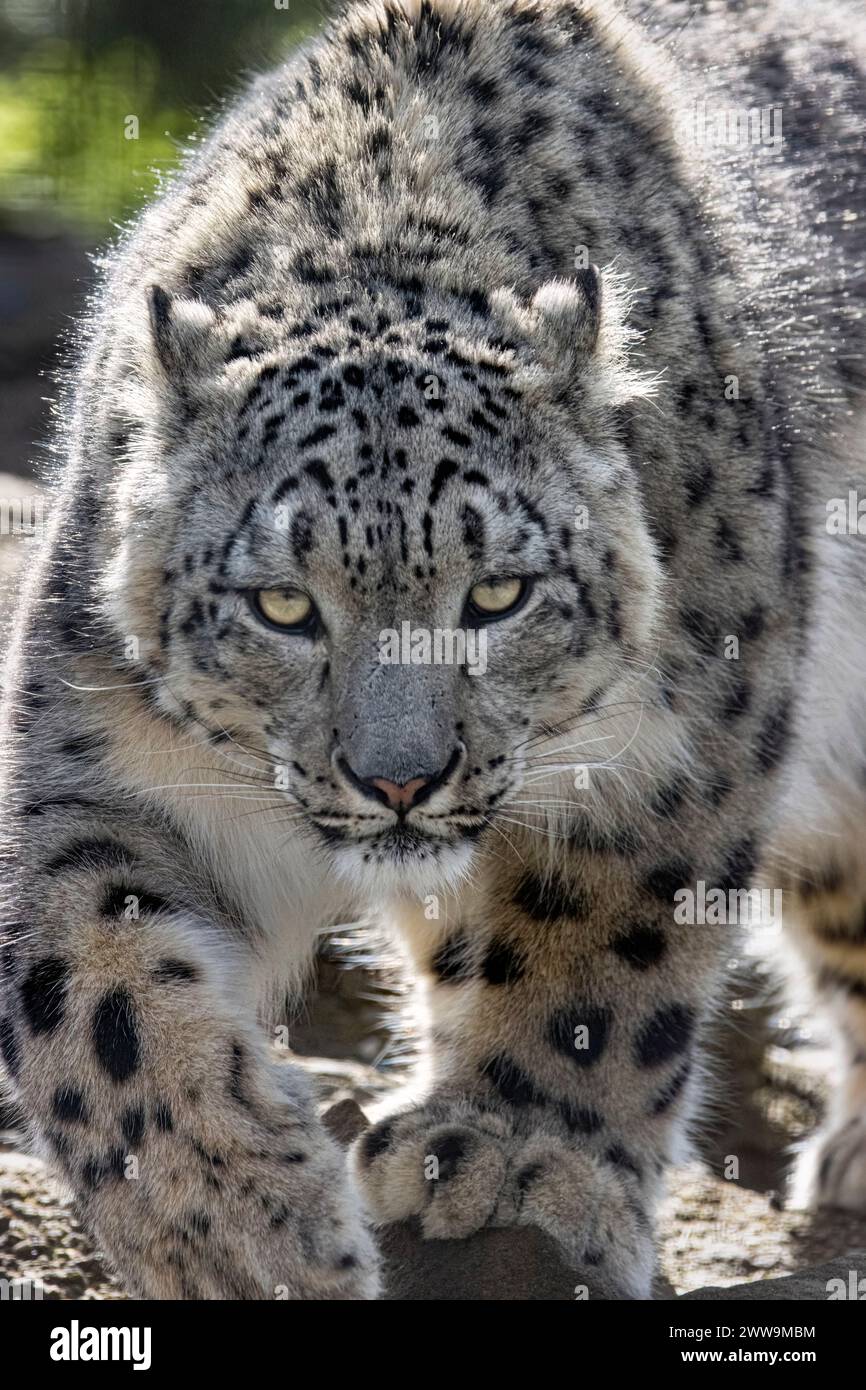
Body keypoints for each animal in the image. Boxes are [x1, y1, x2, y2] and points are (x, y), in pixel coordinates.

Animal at [1, 0, 865, 1300]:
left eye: (497, 593)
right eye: (283, 605)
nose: (399, 779)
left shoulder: (675, 740)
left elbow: (596, 943)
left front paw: (515, 1156)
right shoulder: (97, 764)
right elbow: (86, 982)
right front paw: (235, 1225)